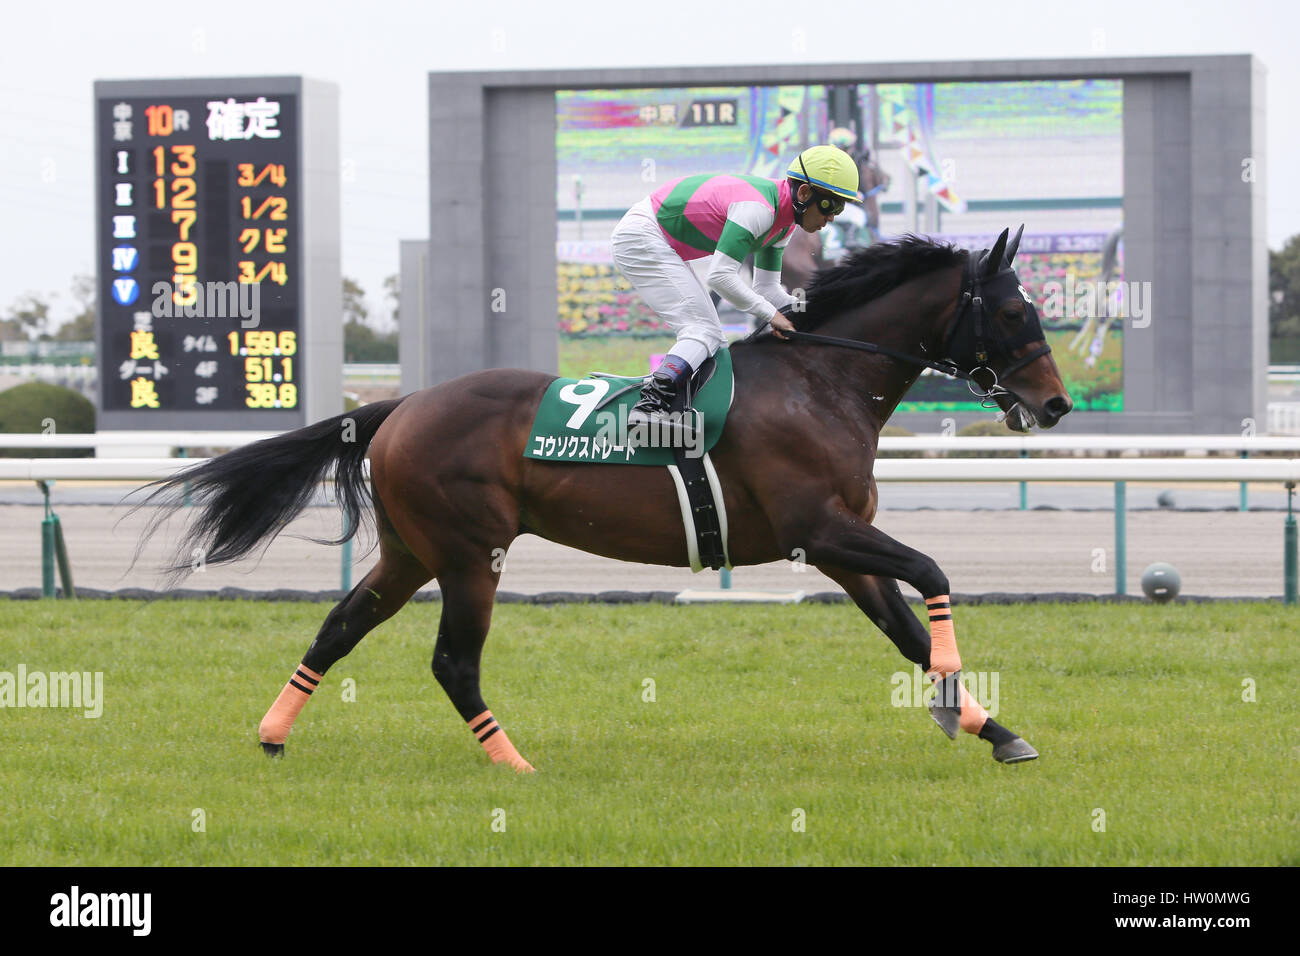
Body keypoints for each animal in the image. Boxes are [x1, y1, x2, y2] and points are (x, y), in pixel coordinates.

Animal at [134, 226, 1072, 772]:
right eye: (1013, 310)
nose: (1057, 404)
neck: (820, 380)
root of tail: (401, 405)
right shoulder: (820, 528)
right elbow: (934, 572)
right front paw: (960, 704)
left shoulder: (837, 545)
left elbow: (907, 630)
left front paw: (992, 729)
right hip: (471, 552)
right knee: (453, 661)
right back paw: (514, 763)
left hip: (410, 552)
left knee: (338, 627)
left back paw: (274, 733)